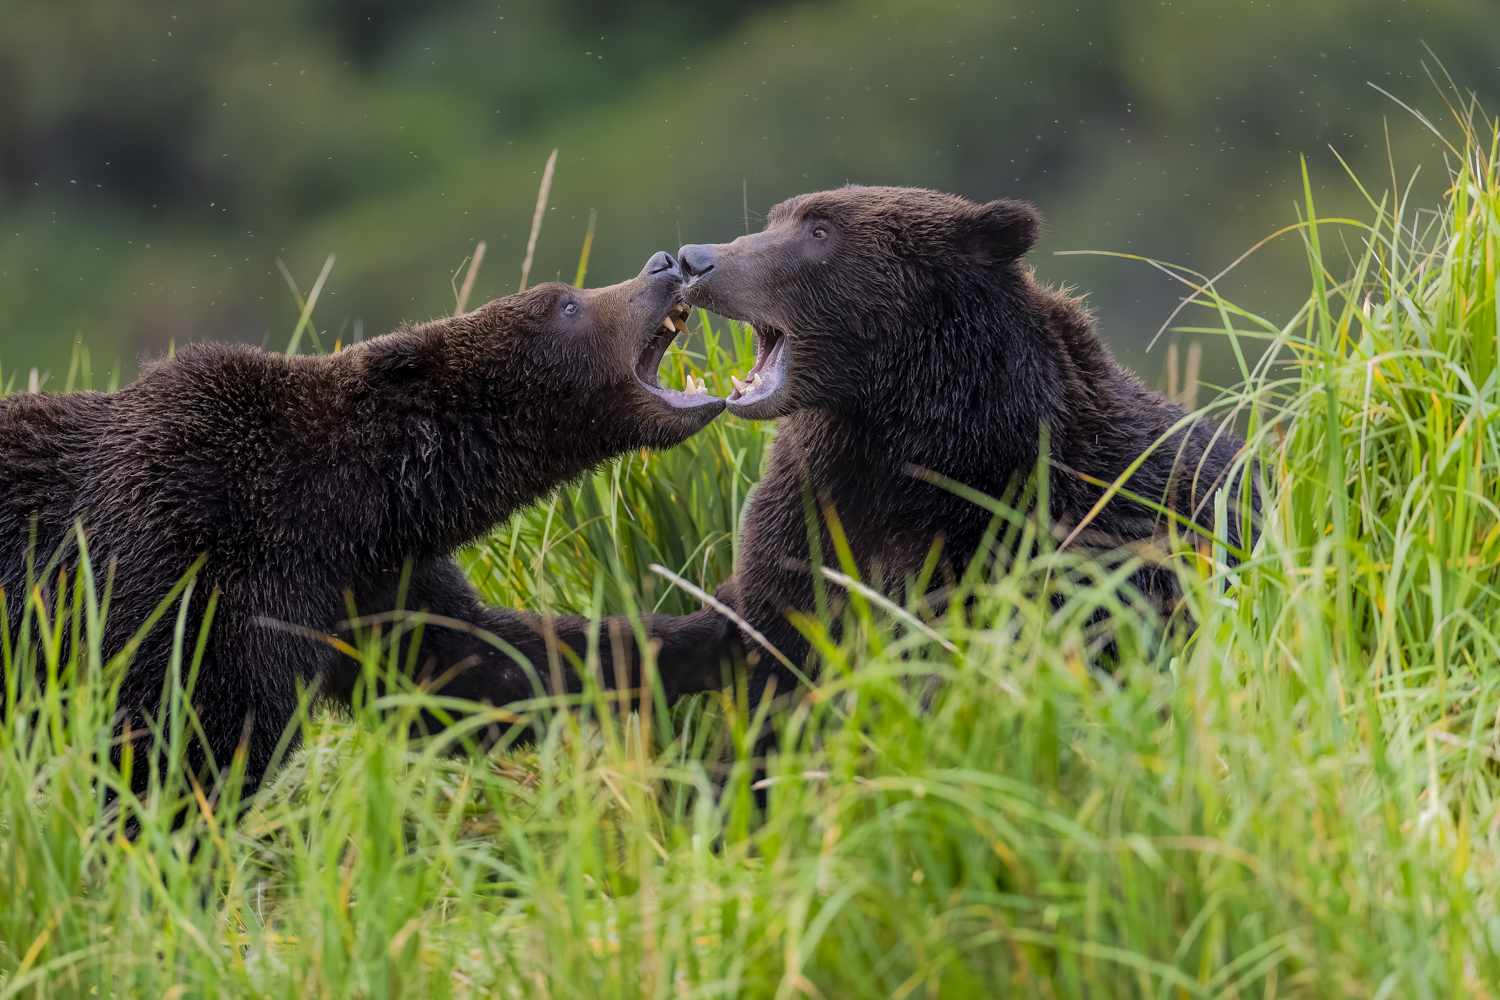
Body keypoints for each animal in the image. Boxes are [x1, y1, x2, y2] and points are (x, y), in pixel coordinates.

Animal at [0, 250, 729, 797]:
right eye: (567, 303)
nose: (664, 263)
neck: (345, 504)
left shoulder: (371, 585)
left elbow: (488, 668)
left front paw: (718, 628)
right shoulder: (189, 563)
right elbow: (180, 753)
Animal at [673, 186, 1253, 714]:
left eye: (820, 231)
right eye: (776, 218)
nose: (695, 259)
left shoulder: (1035, 534)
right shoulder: (811, 512)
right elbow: (776, 641)